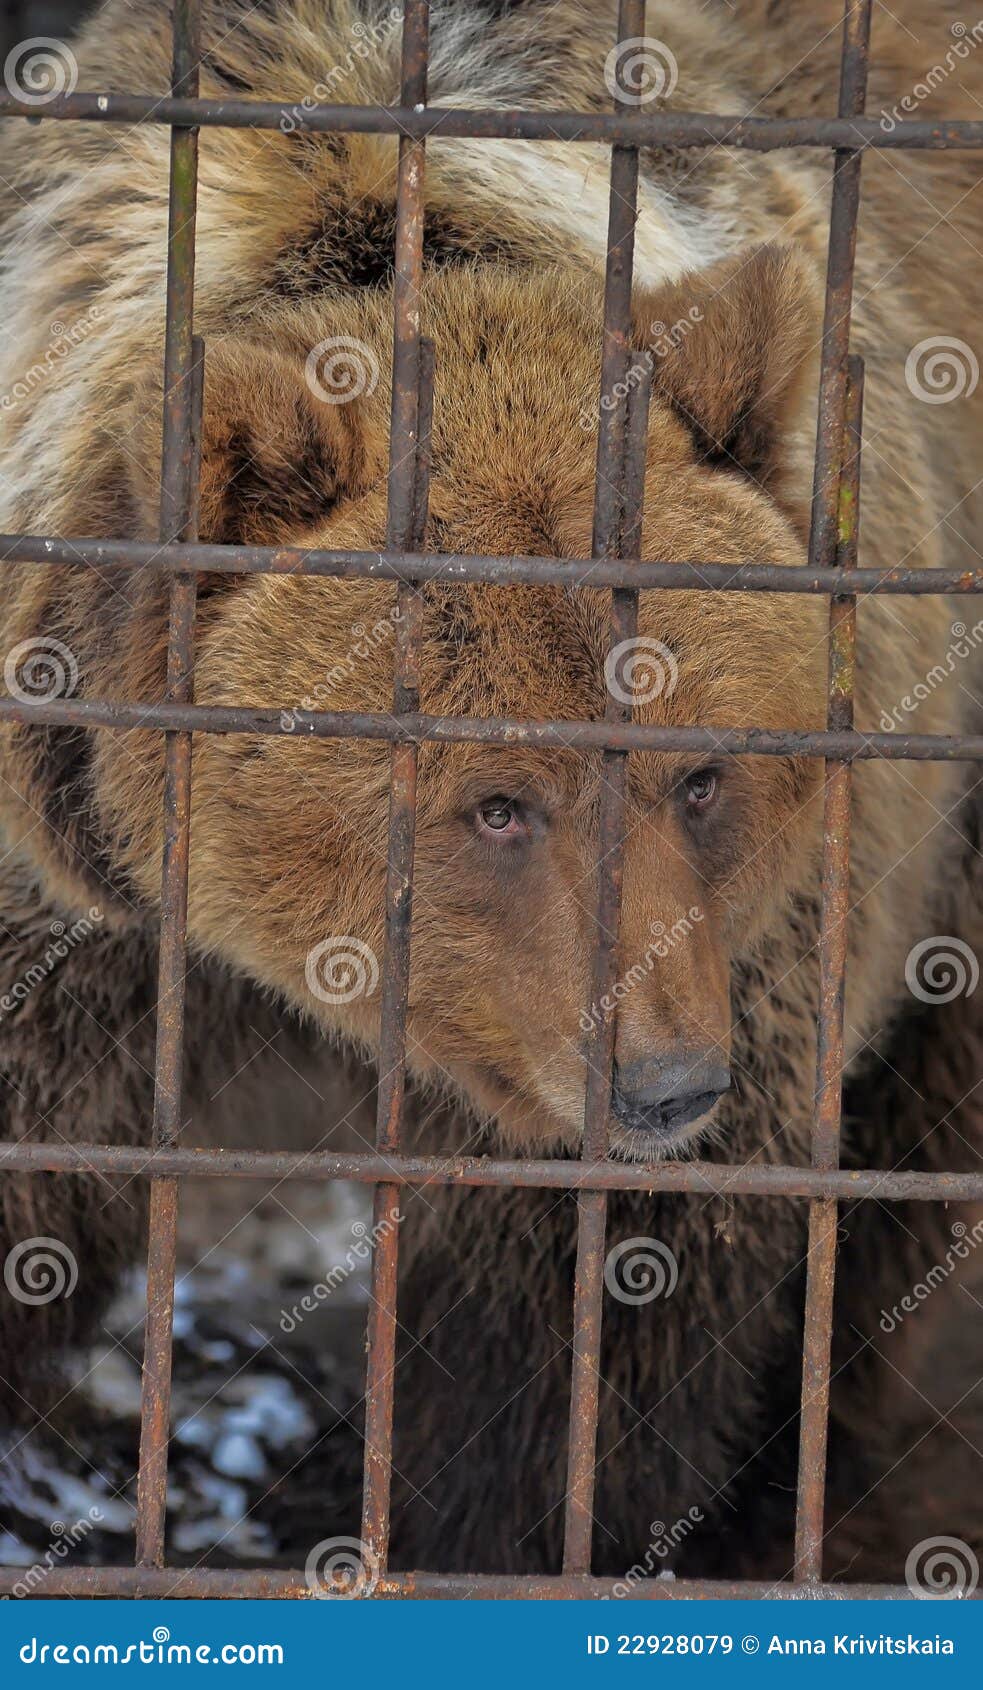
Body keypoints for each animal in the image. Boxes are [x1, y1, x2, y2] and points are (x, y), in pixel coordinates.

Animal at [0, 0, 980, 1583]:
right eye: (496, 802)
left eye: (699, 775)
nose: (663, 1081)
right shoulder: (68, 878)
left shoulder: (766, 924)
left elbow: (586, 1309)